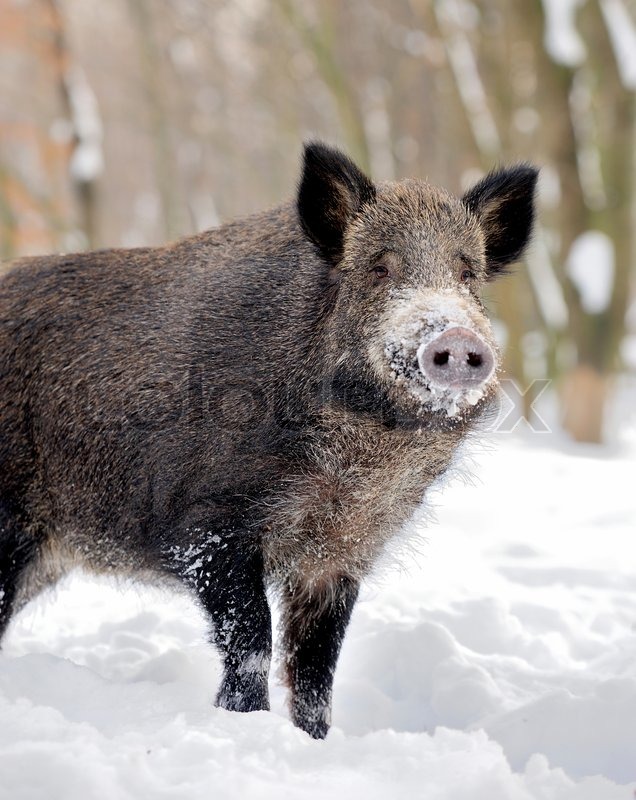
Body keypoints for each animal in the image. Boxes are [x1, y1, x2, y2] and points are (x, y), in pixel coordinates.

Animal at [0, 142, 537, 739]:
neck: (356, 459)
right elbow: (253, 635)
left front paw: (313, 741)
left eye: (468, 274)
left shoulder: (340, 555)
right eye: (379, 267)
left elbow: (316, 666)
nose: (459, 339)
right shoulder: (206, 526)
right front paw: (244, 723)